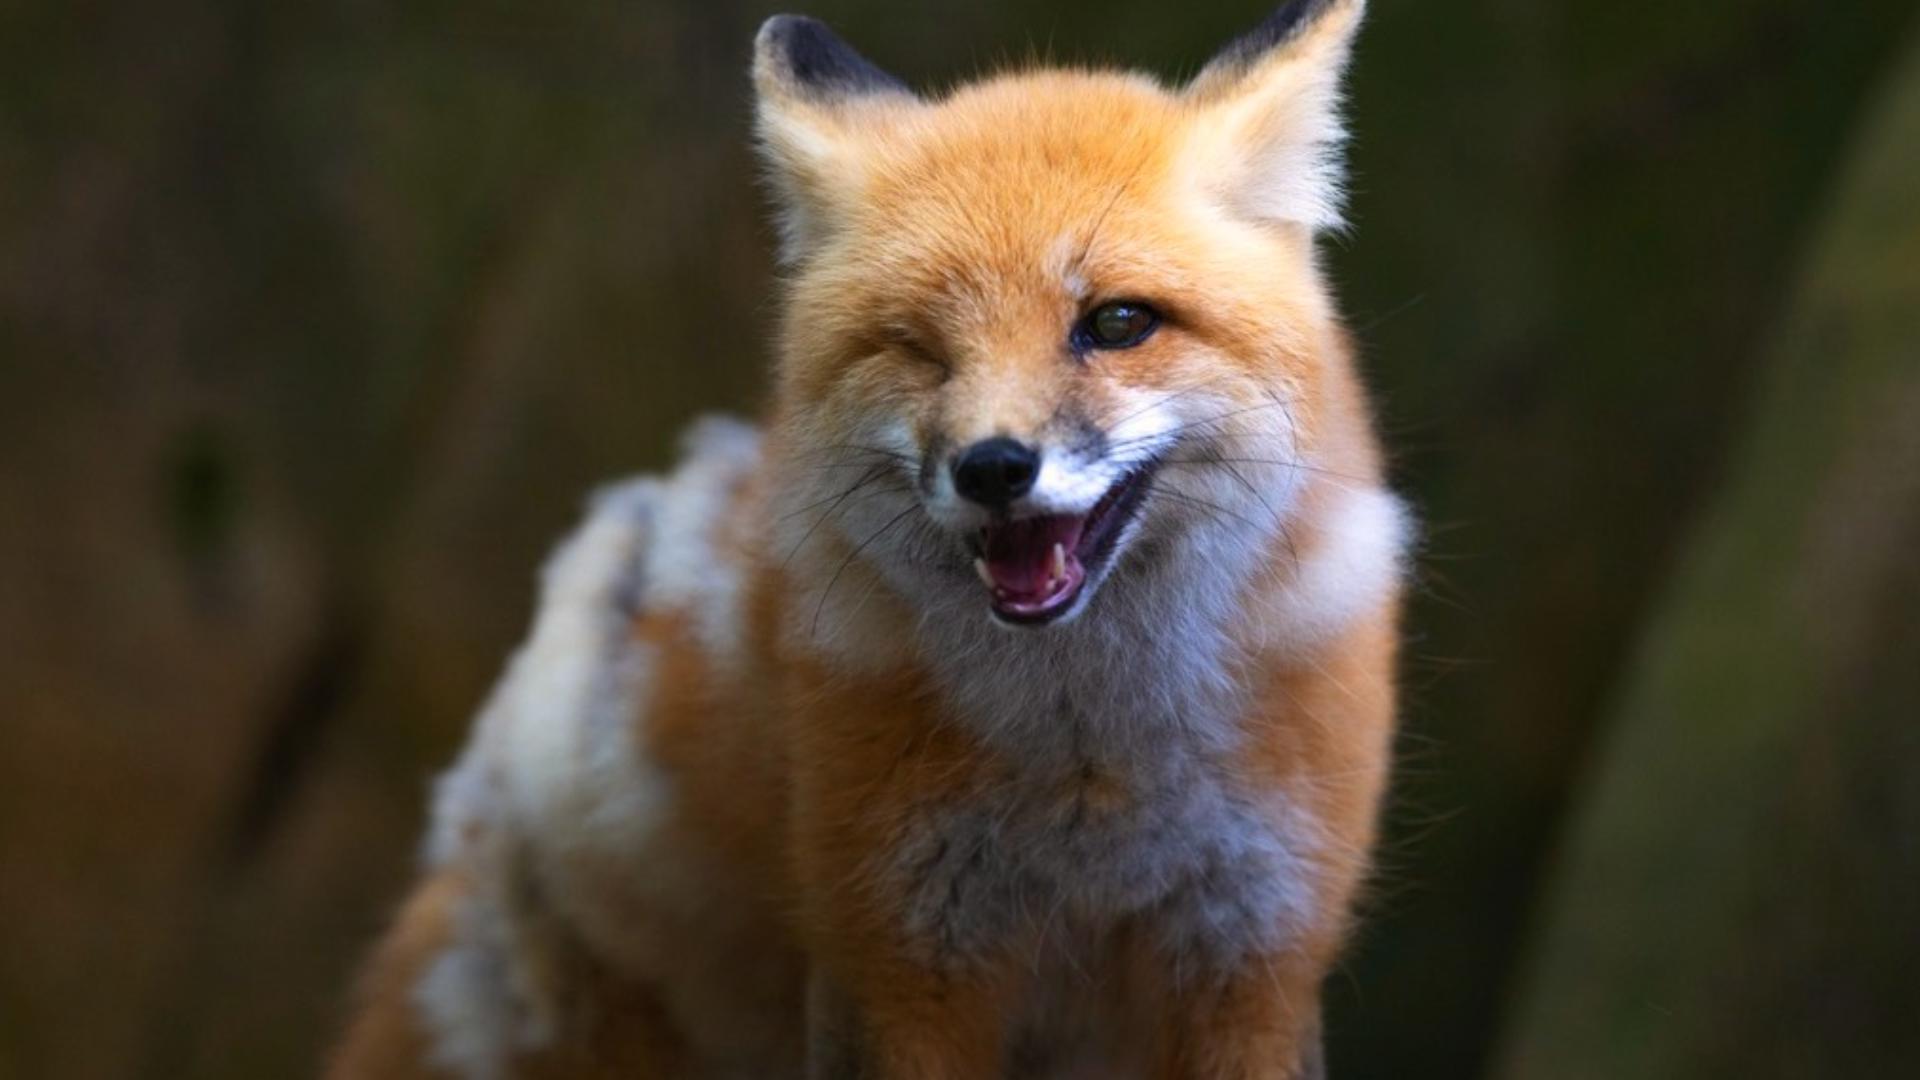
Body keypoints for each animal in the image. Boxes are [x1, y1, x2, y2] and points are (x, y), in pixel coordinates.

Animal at [327, 1, 1407, 1077]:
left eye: (1116, 322)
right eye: (921, 348)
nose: (992, 468)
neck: (1091, 767)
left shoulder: (1253, 957)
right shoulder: (895, 962)